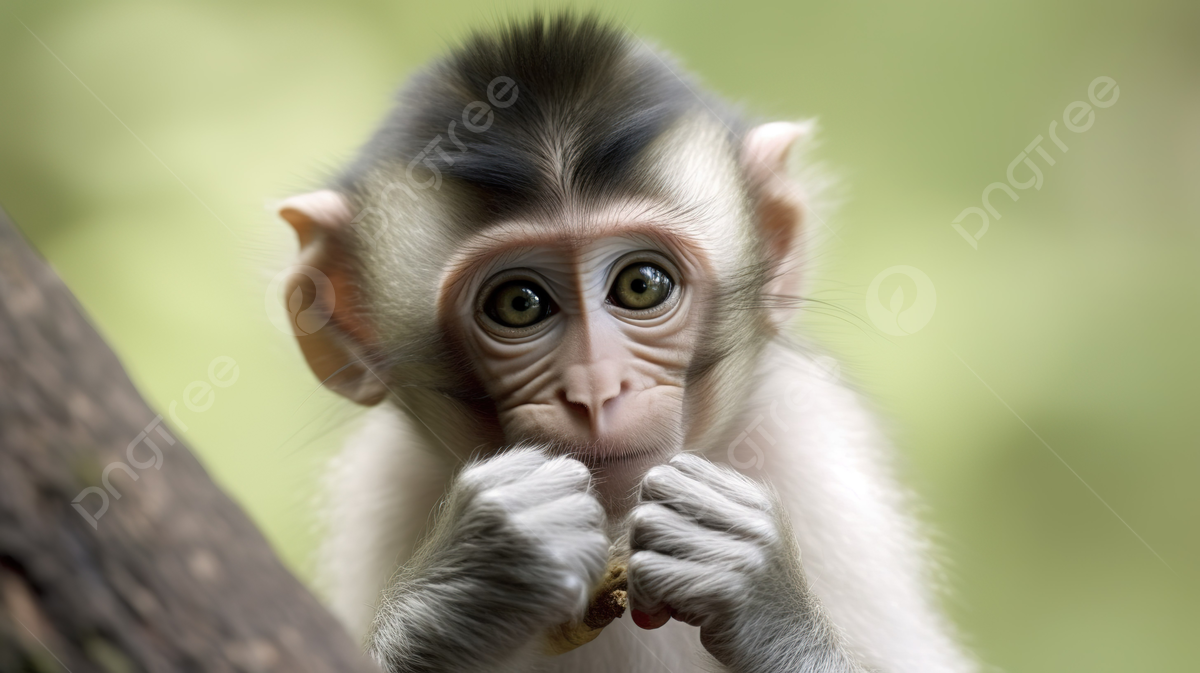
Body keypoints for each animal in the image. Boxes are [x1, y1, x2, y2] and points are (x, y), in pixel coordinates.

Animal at [275, 13, 977, 673]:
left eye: (641, 285)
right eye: (519, 303)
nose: (595, 388)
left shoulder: (815, 449)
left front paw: (763, 595)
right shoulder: (383, 488)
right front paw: (470, 577)